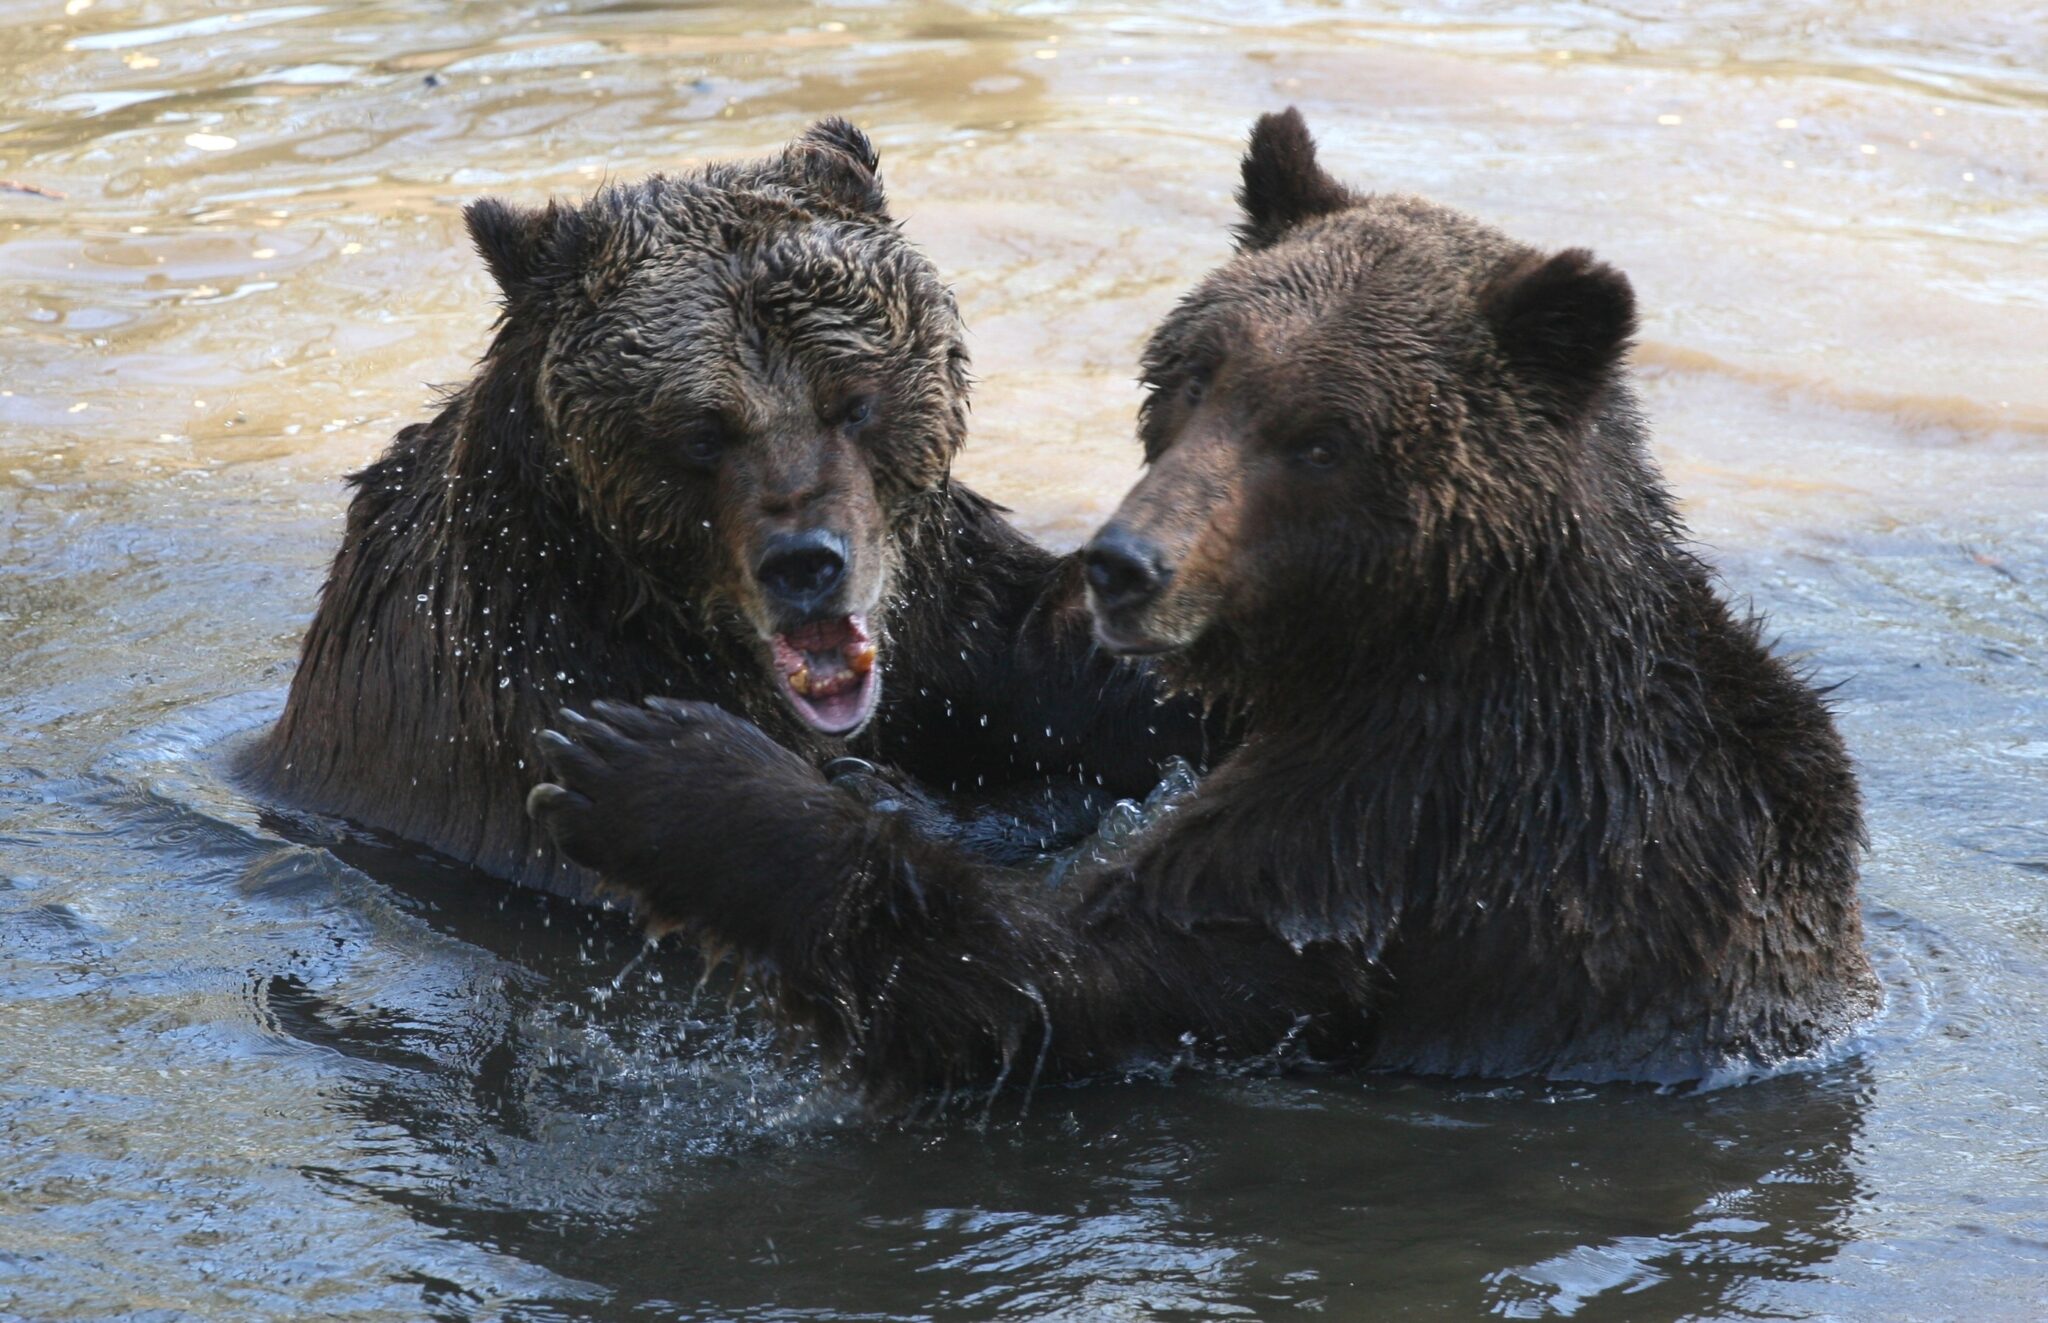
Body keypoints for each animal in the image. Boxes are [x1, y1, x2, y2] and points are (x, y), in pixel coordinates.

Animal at [524, 108, 1882, 1103]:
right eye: (1191, 374)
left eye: (1320, 437)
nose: (1123, 562)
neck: (1406, 634)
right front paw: (875, 774)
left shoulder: (1393, 827)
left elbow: (1046, 987)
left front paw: (653, 769)